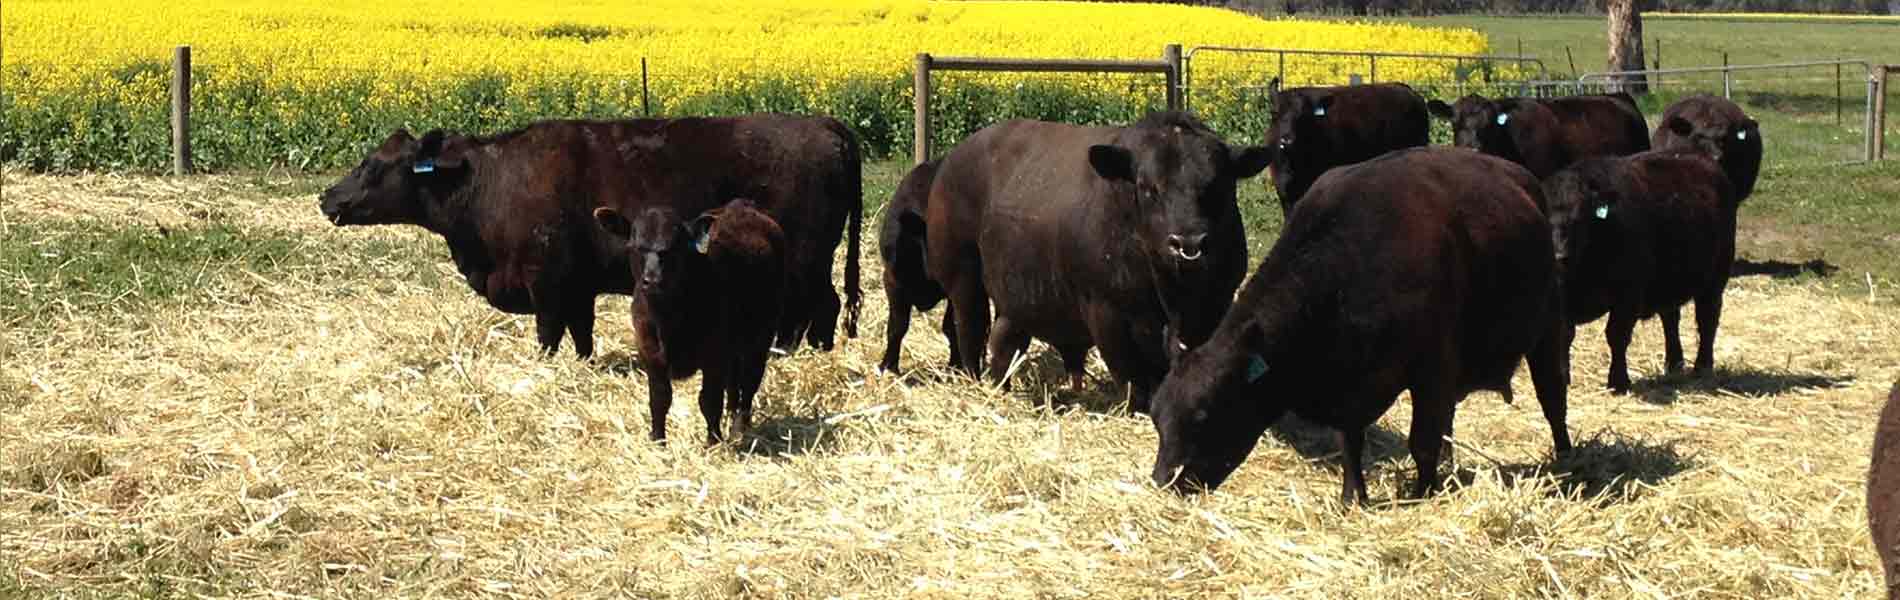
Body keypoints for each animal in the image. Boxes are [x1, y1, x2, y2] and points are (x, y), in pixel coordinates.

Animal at [316, 115, 861, 359]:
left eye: (372, 165)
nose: (327, 198)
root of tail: (823, 123)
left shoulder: (546, 280)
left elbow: (548, 334)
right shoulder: (576, 286)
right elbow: (581, 335)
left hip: (806, 259)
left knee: (812, 307)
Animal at [593, 199, 785, 443]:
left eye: (676, 247)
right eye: (635, 246)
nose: (653, 280)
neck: (668, 320)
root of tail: (742, 205)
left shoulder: (714, 356)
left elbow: (709, 401)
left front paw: (713, 442)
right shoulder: (650, 353)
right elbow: (659, 400)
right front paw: (658, 440)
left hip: (761, 337)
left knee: (750, 382)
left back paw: (739, 427)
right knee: (734, 383)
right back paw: (732, 415)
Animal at [924, 112, 1272, 412]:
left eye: (1218, 185)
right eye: (1147, 187)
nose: (1188, 243)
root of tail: (955, 156)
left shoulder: (1216, 303)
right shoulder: (1107, 311)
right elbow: (1132, 376)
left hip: (1018, 295)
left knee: (1005, 341)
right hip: (963, 276)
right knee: (970, 327)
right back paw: (974, 378)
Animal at [1147, 147, 1573, 504]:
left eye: (1204, 415)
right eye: (1156, 416)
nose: (1163, 481)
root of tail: (1518, 176)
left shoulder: (1432, 367)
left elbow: (1422, 440)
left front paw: (1422, 493)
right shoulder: (1346, 383)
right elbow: (1350, 440)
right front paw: (1353, 496)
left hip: (1548, 328)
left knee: (1552, 398)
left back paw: (1566, 458)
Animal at [1542, 151, 1738, 393]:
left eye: (1580, 219)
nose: (1560, 256)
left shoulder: (1628, 296)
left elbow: (1617, 335)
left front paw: (1618, 381)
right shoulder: (1563, 301)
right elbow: (1564, 337)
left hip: (1714, 280)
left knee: (1707, 320)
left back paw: (1702, 367)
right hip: (1668, 283)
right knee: (1670, 320)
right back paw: (1673, 364)